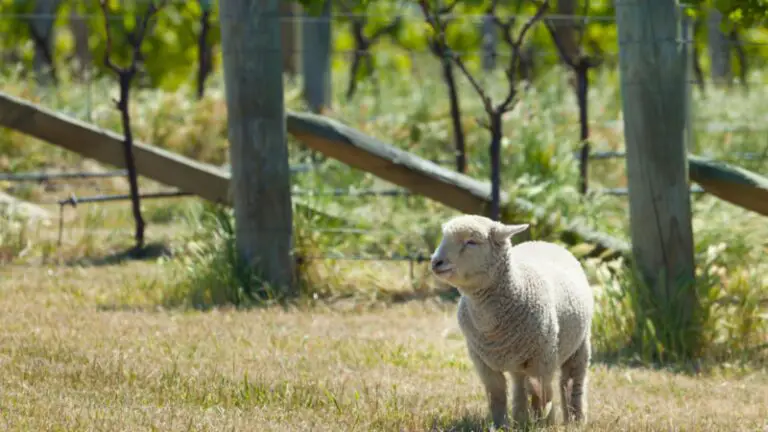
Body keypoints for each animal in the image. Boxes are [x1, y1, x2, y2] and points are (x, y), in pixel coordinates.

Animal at [429, 214, 594, 429]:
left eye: (471, 242)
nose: (435, 262)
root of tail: (543, 242)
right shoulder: (482, 362)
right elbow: (497, 396)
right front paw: (501, 426)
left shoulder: (543, 358)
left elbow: (542, 395)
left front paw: (542, 424)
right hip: (518, 359)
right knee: (520, 386)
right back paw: (520, 419)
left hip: (579, 345)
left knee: (572, 381)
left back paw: (575, 420)